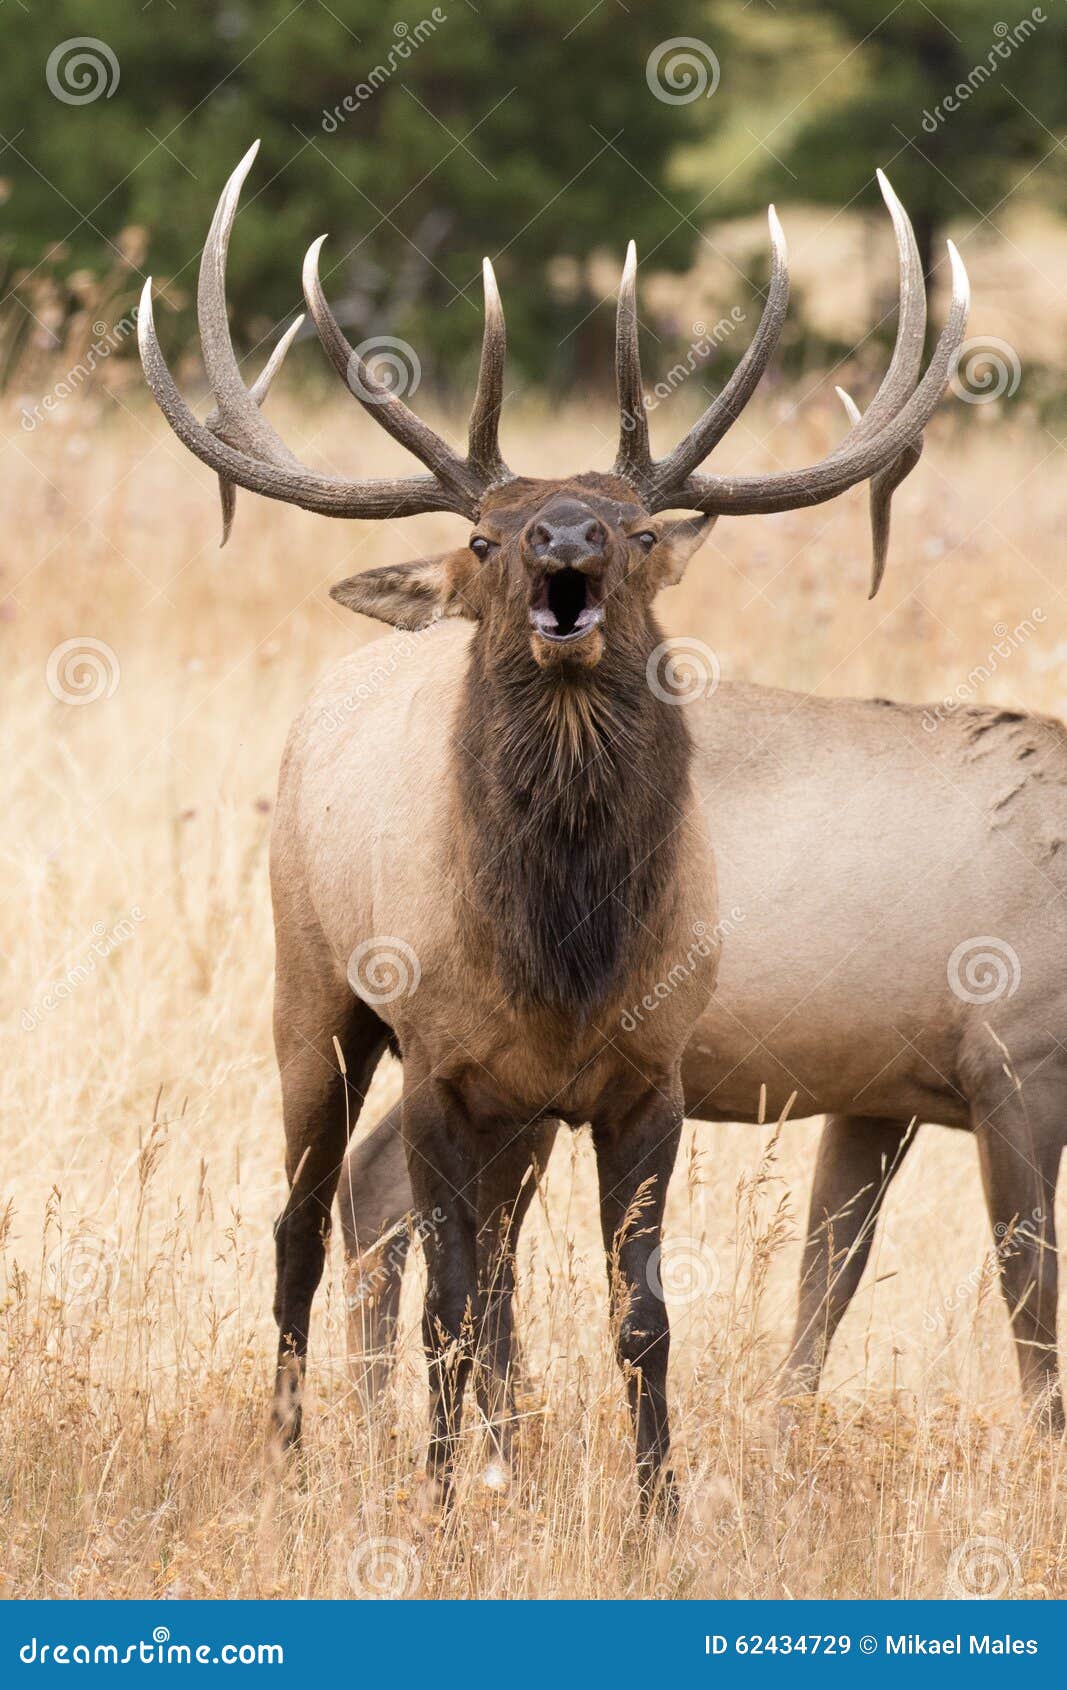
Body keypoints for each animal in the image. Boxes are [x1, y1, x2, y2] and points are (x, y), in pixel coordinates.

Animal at [139, 142, 984, 1514]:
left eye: (636, 529)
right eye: (486, 534)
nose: (568, 537)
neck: (566, 955)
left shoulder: (646, 1076)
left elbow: (635, 1315)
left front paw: (655, 1510)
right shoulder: (439, 1061)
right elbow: (439, 1301)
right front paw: (434, 1504)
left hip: (520, 1110)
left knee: (494, 1272)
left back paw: (507, 1450)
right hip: (309, 987)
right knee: (301, 1220)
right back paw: (294, 1445)